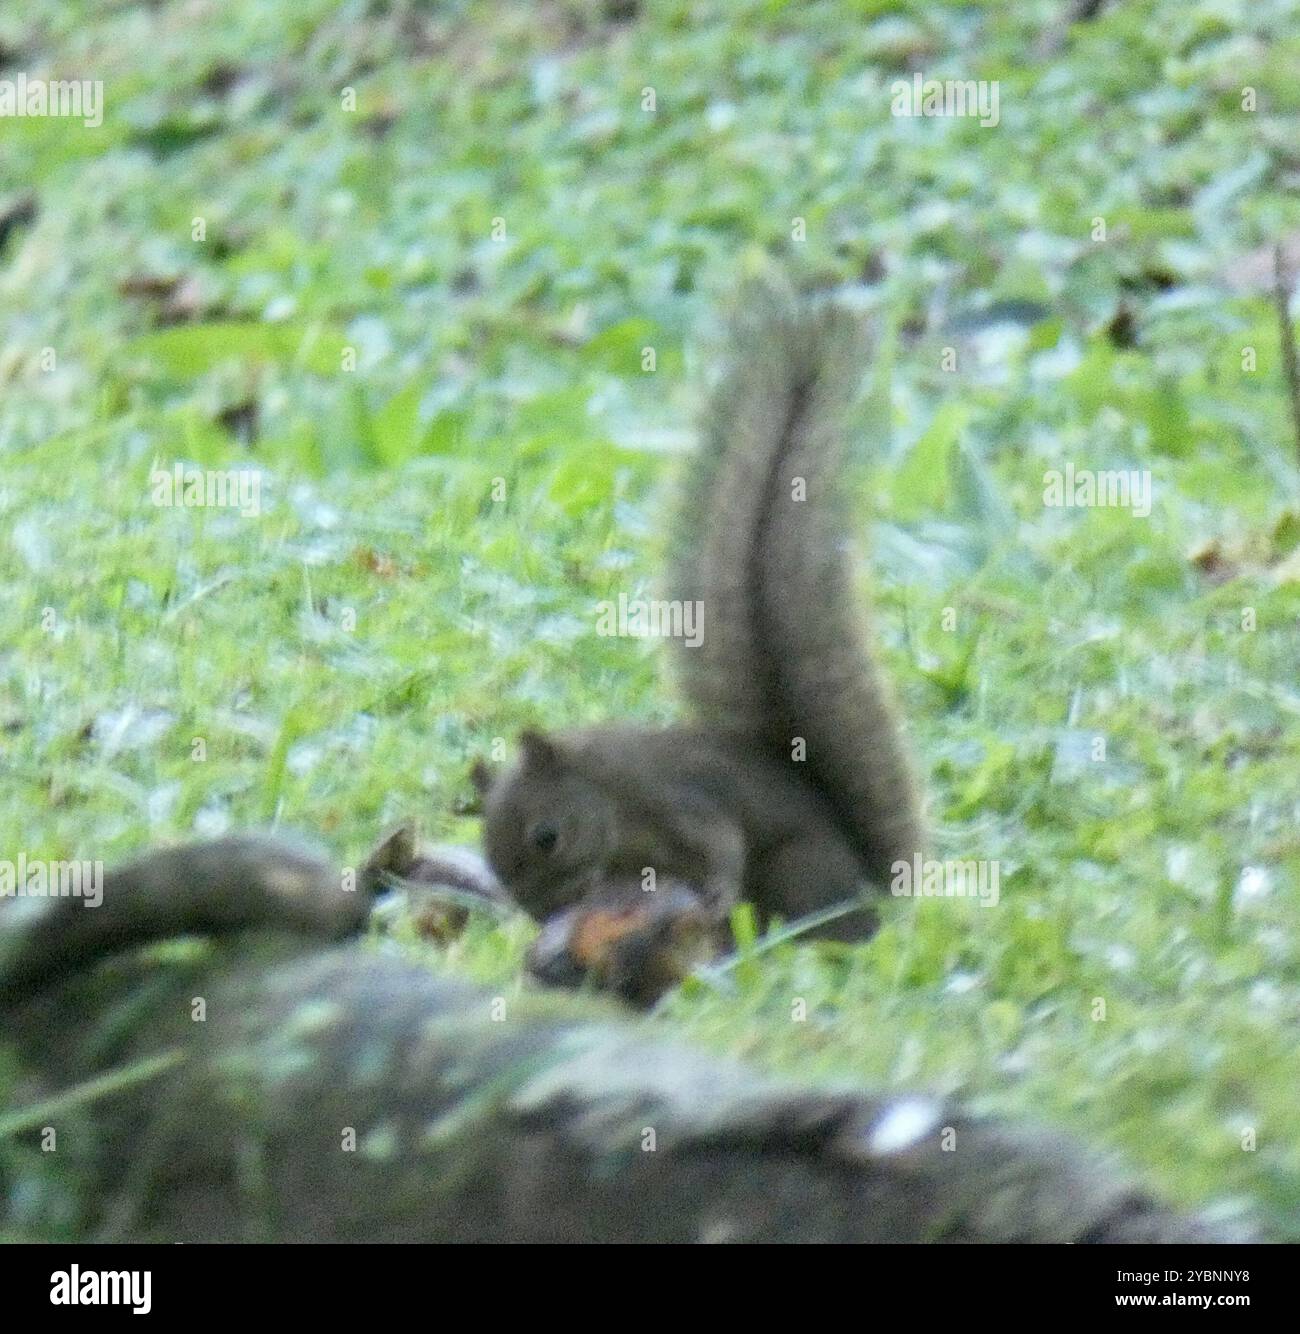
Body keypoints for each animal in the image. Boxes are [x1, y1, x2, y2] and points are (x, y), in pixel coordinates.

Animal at [472, 281, 924, 939]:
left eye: (546, 837)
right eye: (487, 853)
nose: (539, 915)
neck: (611, 797)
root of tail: (877, 895)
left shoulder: (681, 800)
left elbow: (721, 844)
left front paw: (715, 891)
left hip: (800, 872)